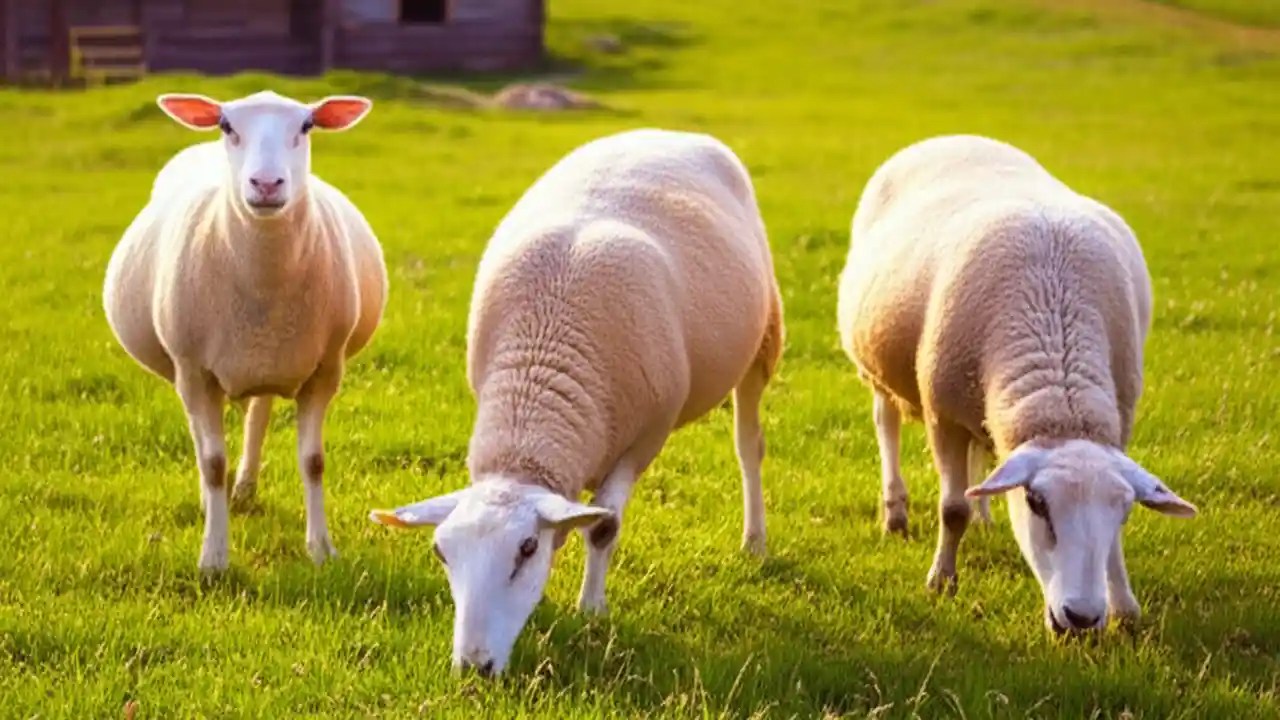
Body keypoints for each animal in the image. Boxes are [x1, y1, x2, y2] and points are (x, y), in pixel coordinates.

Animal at [103, 91, 388, 573]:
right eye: (226, 126)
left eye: (307, 126)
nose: (267, 184)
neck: (264, 280)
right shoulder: (194, 371)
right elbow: (212, 460)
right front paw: (214, 558)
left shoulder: (325, 370)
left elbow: (313, 461)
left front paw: (321, 550)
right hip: (189, 370)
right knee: (202, 438)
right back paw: (214, 497)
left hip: (270, 360)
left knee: (259, 411)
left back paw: (246, 488)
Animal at [369, 128, 784, 675]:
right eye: (441, 553)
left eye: (526, 549)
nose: (474, 668)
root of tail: (668, 132)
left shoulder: (645, 438)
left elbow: (604, 527)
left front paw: (591, 610)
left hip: (763, 340)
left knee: (748, 447)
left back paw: (754, 540)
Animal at [837, 134, 1197, 634]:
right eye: (1037, 503)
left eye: (1123, 511)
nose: (1081, 619)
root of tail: (955, 137)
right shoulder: (942, 414)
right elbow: (952, 509)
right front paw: (942, 581)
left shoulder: (1119, 421)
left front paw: (1124, 607)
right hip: (879, 369)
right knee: (886, 424)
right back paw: (896, 513)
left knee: (983, 455)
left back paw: (985, 516)